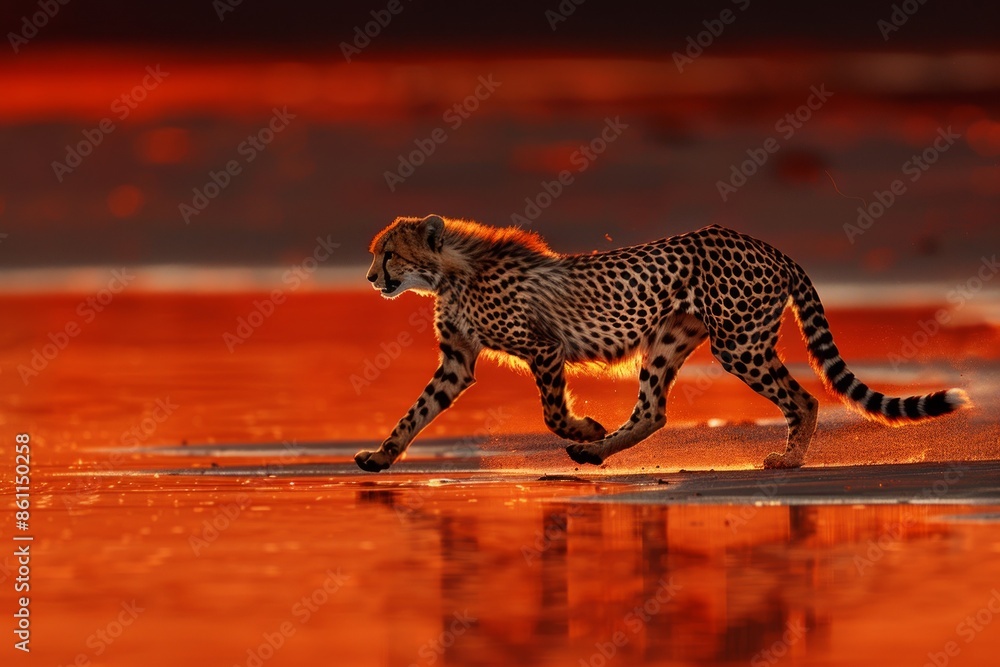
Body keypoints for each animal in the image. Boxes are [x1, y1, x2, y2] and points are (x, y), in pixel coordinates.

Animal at [354, 214, 970, 472]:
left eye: (389, 254)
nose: (370, 278)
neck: (450, 271)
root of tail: (767, 245)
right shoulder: (456, 362)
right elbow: (415, 413)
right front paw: (380, 456)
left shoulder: (544, 349)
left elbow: (553, 412)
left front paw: (584, 427)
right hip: (671, 341)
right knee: (653, 411)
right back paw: (596, 454)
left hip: (739, 345)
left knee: (804, 398)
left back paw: (789, 460)